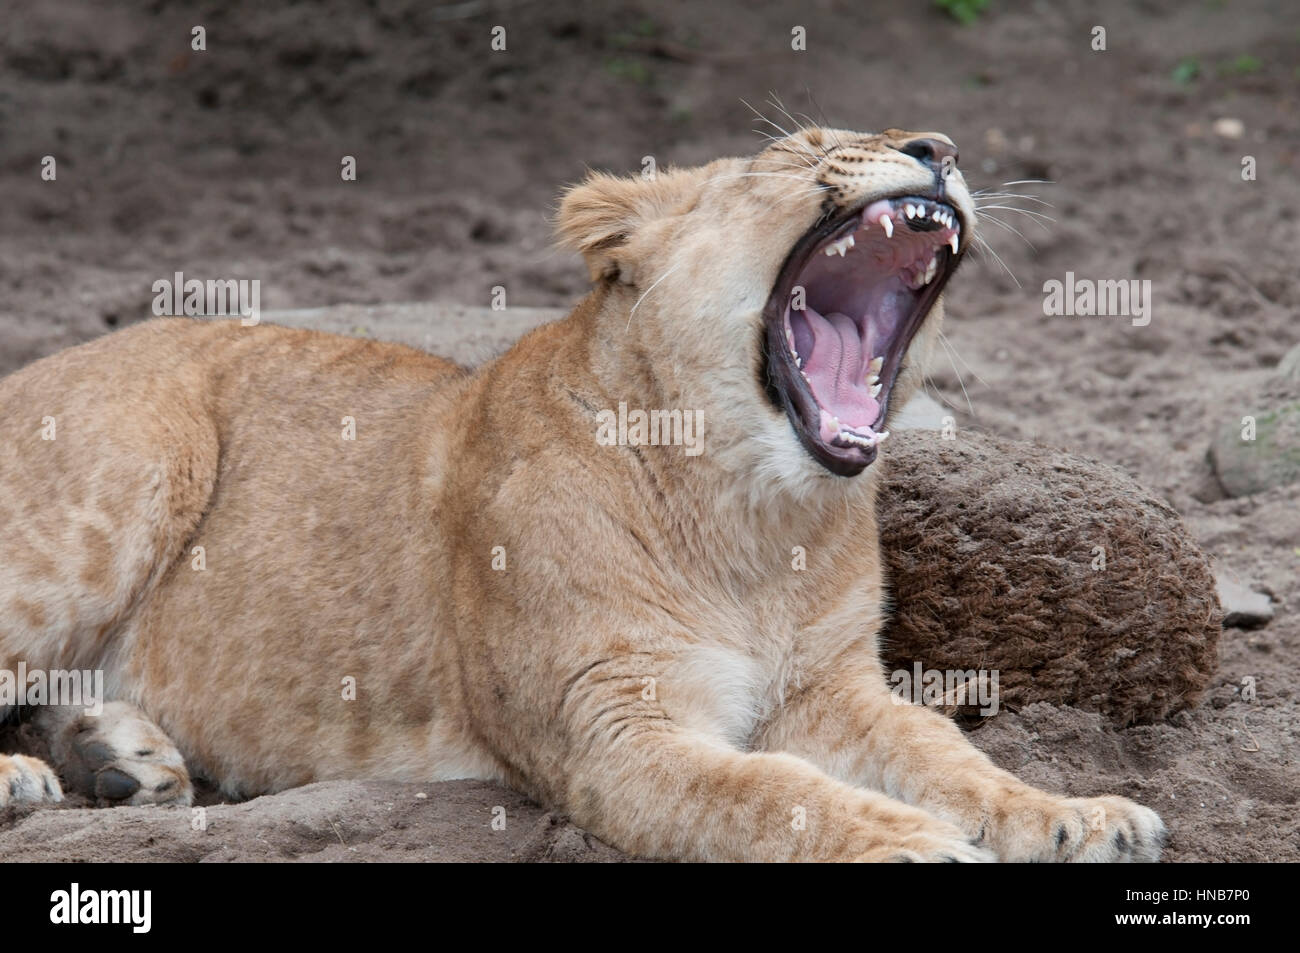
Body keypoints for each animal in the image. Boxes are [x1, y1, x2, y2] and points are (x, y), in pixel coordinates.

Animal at [0, 127, 1166, 861]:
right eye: (799, 149)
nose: (941, 150)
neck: (752, 520)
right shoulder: (611, 727)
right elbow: (768, 793)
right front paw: (916, 841)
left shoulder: (830, 690)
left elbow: (949, 753)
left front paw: (1077, 816)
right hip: (128, 477)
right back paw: (34, 777)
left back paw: (117, 760)